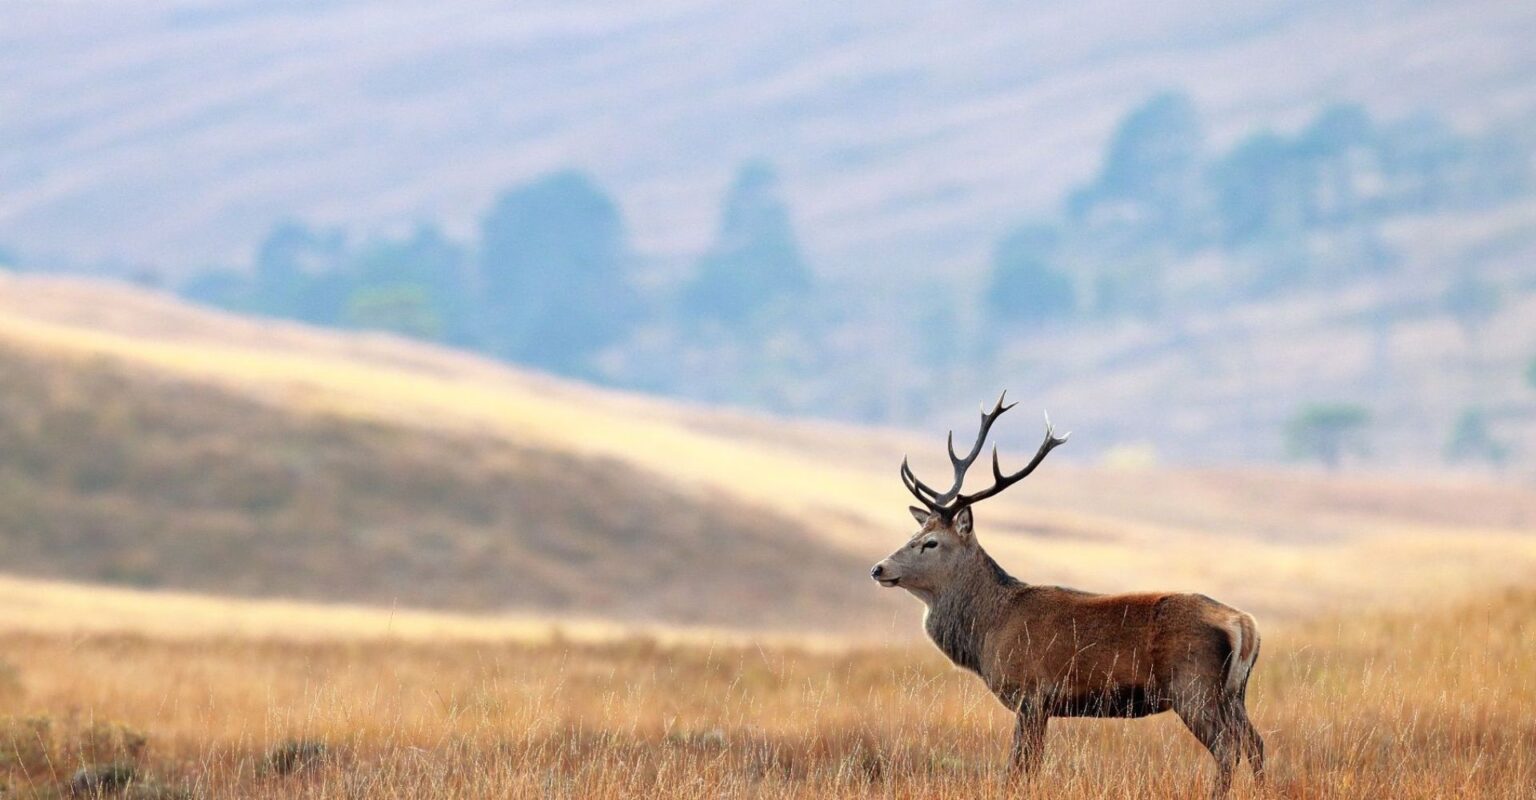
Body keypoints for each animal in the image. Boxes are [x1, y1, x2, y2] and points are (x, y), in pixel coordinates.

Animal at [870, 393, 1264, 798]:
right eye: (914, 534)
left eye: (930, 542)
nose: (879, 568)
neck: (988, 631)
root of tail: (1244, 624)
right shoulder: (1040, 704)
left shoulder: (1031, 694)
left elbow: (1020, 767)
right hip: (1233, 692)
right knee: (1255, 743)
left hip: (1193, 685)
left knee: (1227, 748)